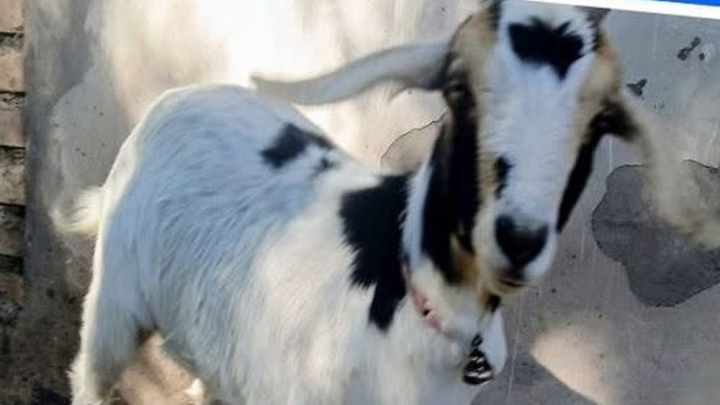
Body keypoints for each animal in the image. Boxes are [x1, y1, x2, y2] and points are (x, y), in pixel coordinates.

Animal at [55, 1, 713, 404]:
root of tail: (181, 97)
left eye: (601, 121)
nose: (519, 237)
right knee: (90, 373)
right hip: (114, 303)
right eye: (458, 90)